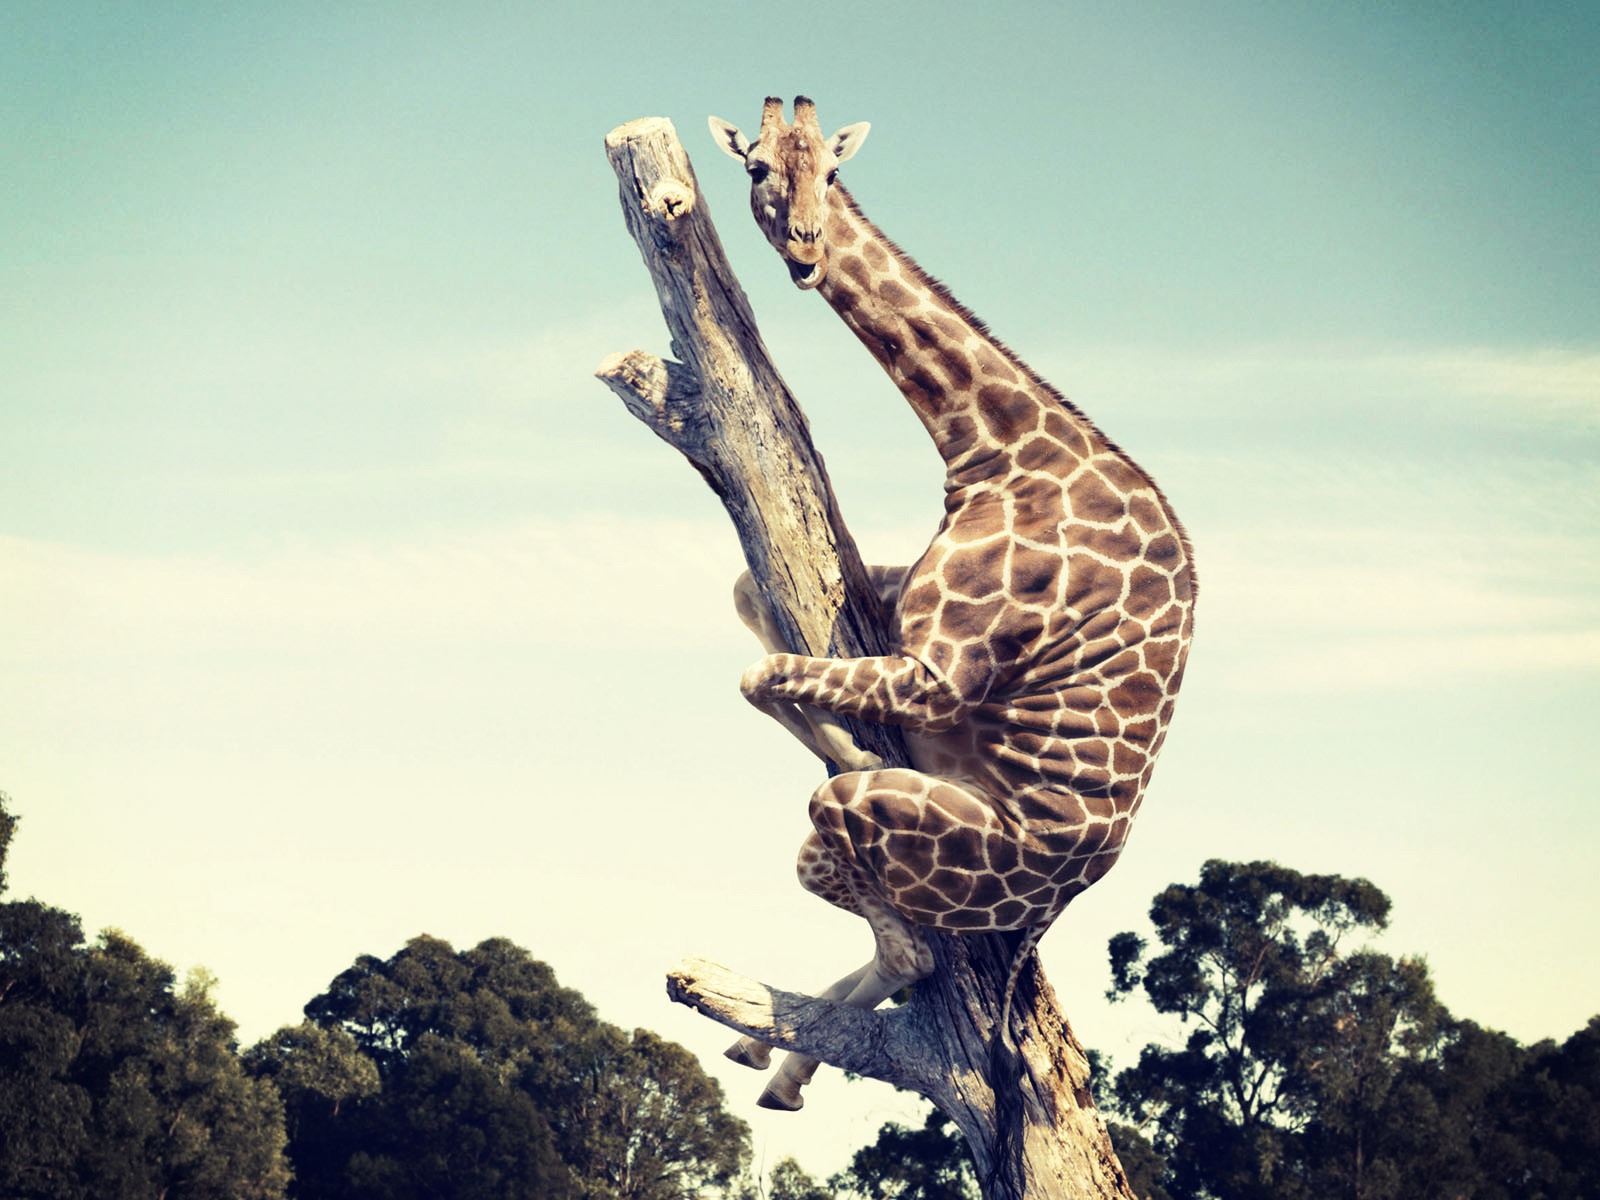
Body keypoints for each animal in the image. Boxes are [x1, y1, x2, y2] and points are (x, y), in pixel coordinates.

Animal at [707, 96, 1197, 1111]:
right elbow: (748, 607)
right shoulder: (895, 615)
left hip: (880, 825)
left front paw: (849, 739)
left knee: (908, 946)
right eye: (758, 167)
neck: (997, 448)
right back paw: (767, 1061)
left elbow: (761, 674)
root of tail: (1057, 901)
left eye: (832, 174)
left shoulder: (938, 675)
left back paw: (779, 1063)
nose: (807, 252)